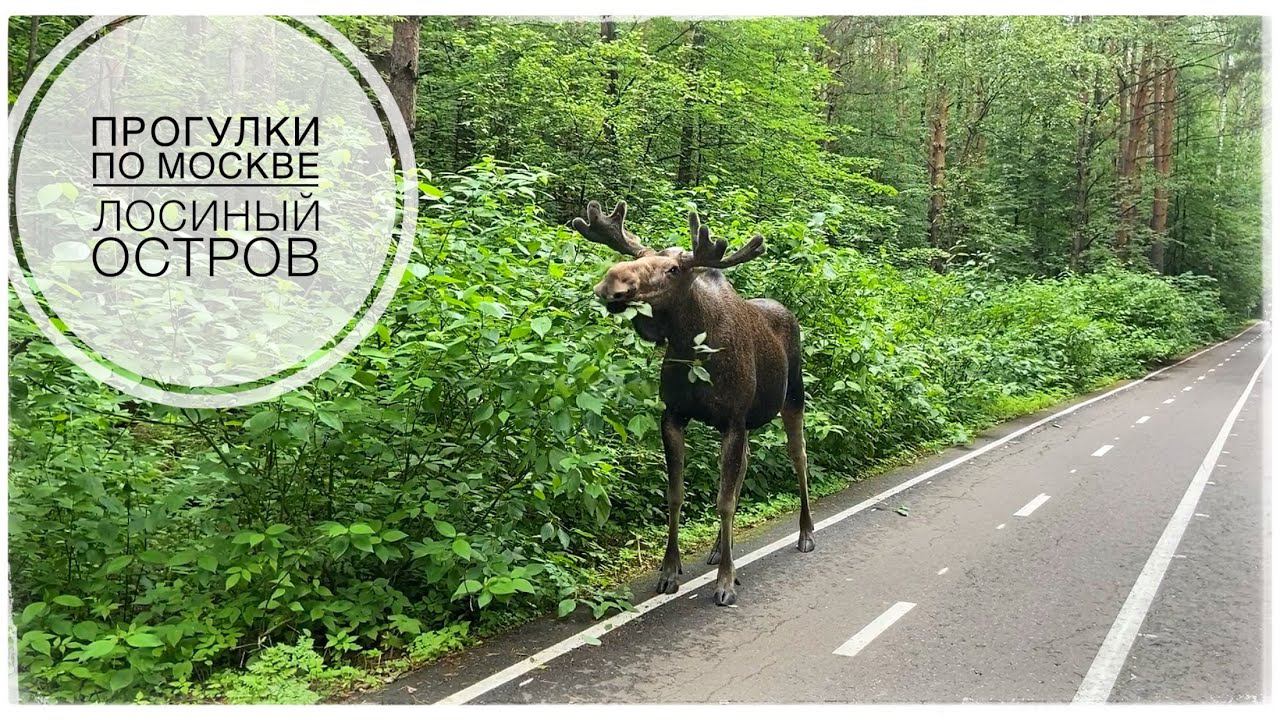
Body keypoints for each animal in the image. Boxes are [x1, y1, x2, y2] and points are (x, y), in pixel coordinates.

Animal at [571, 200, 815, 607]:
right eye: (638, 257)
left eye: (672, 270)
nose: (612, 283)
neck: (692, 348)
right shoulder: (673, 416)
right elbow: (676, 495)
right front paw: (669, 570)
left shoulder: (733, 419)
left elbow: (724, 501)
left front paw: (726, 581)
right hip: (749, 423)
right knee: (744, 467)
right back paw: (718, 548)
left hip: (793, 396)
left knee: (800, 458)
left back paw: (806, 532)